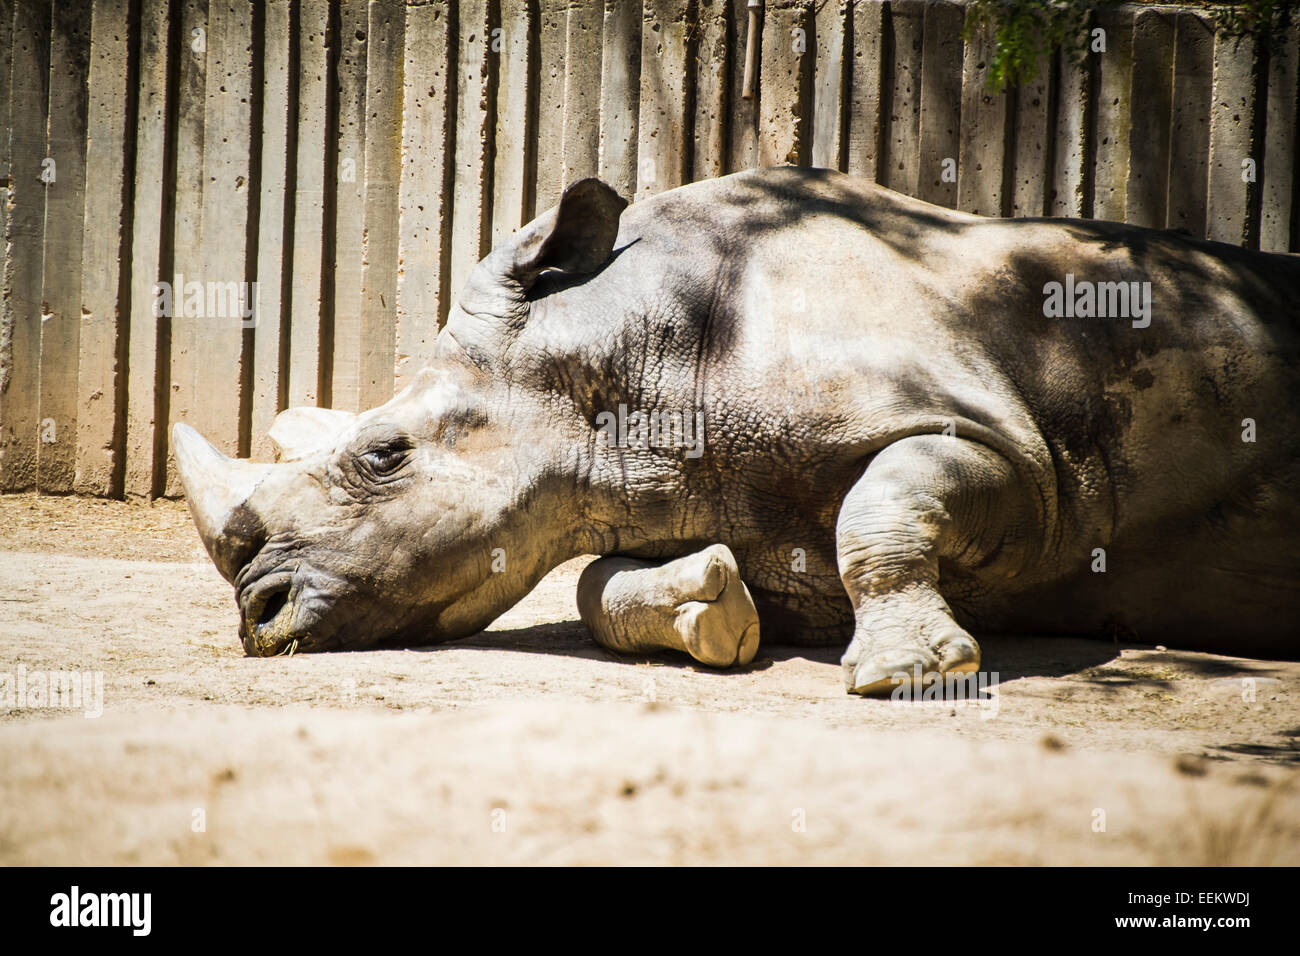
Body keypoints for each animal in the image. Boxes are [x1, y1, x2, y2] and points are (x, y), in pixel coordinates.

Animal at [173, 166, 1300, 695]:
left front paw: (908, 671)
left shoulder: (1019, 460)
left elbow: (881, 507)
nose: (255, 616)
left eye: (382, 455)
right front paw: (714, 612)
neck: (629, 361)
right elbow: (596, 582)